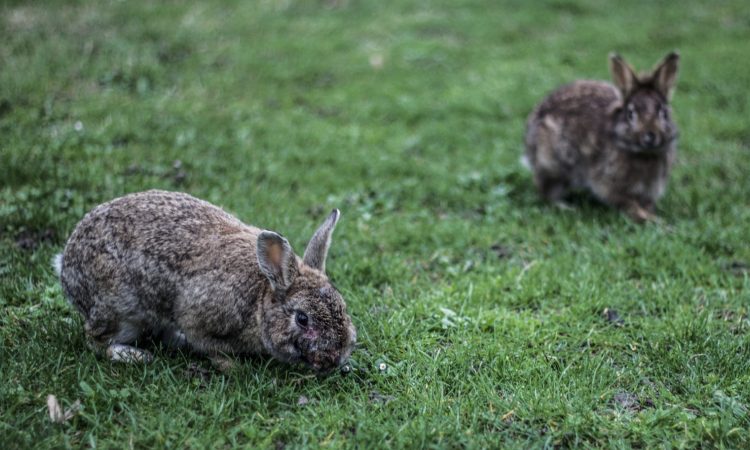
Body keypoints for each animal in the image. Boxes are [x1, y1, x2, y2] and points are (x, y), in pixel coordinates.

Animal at [55, 190, 356, 374]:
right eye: (303, 319)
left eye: (343, 308)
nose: (338, 357)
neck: (260, 298)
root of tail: (66, 266)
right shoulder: (197, 316)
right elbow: (209, 346)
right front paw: (233, 367)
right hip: (119, 309)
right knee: (95, 340)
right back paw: (134, 356)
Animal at [524, 51, 680, 222]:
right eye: (631, 113)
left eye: (663, 113)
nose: (650, 136)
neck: (642, 153)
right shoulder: (610, 185)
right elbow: (627, 203)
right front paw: (648, 218)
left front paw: (651, 215)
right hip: (553, 165)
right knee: (546, 189)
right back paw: (566, 207)